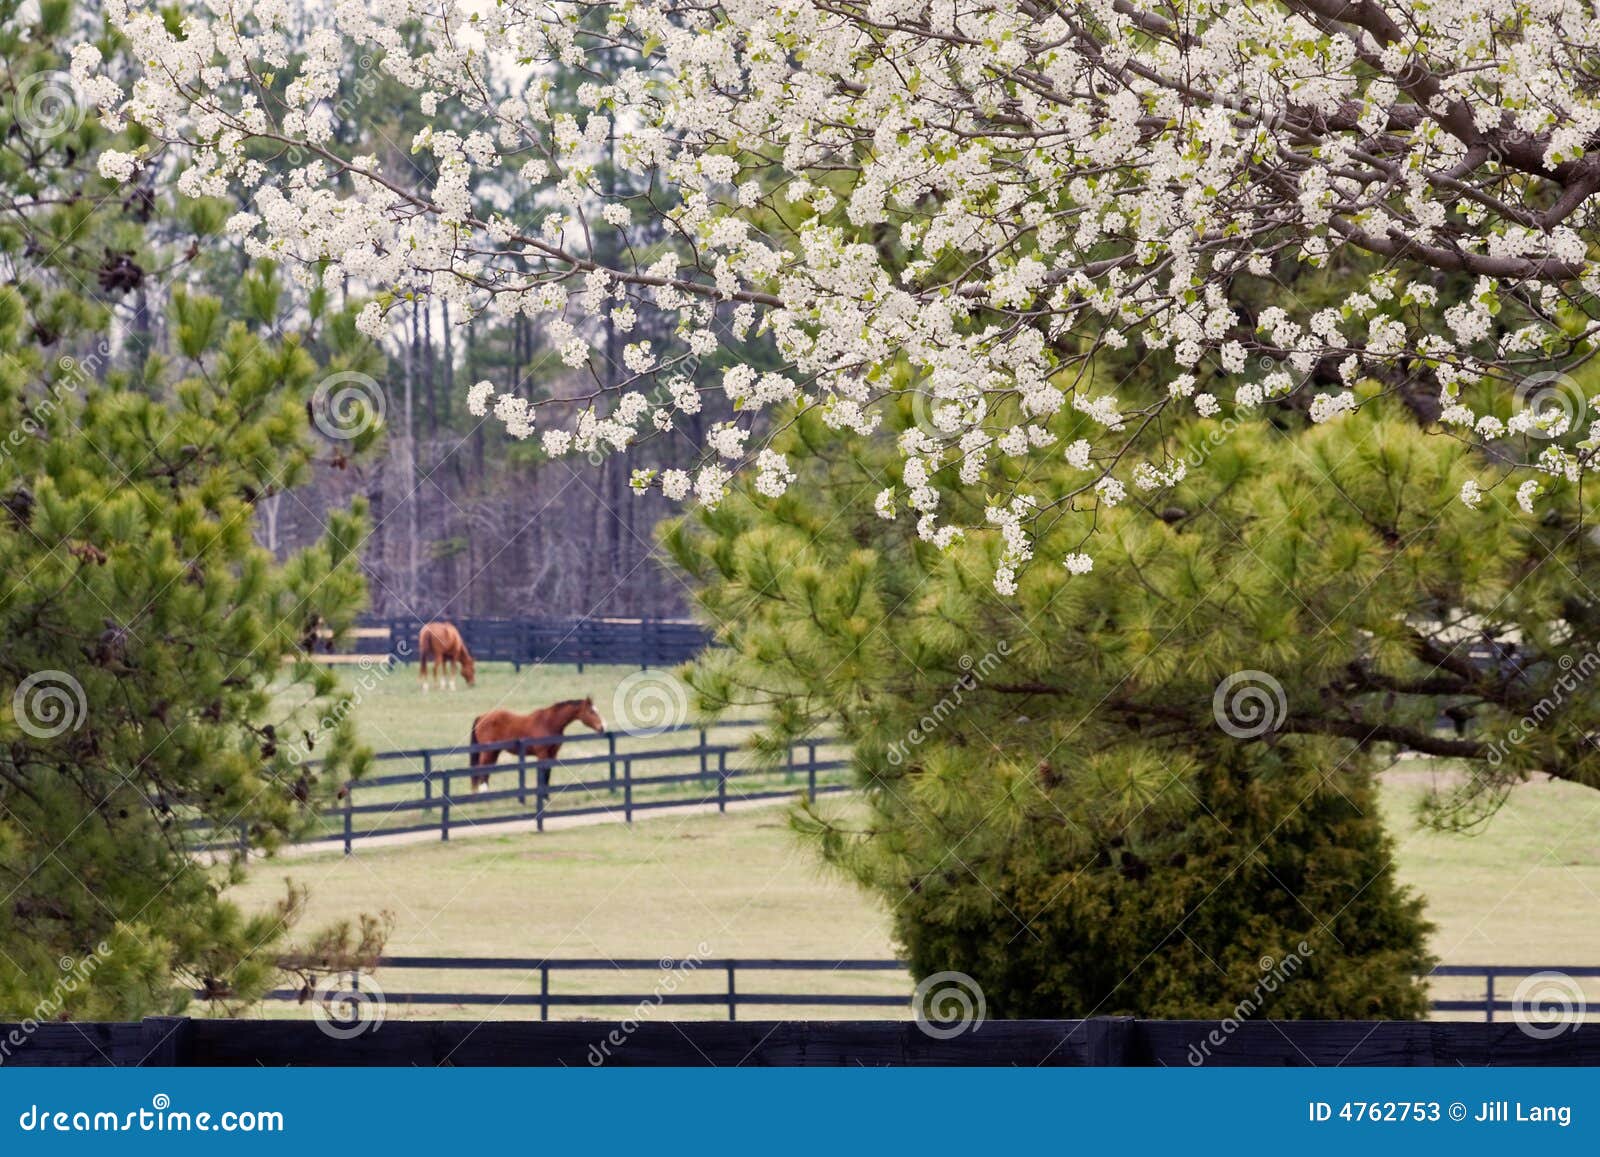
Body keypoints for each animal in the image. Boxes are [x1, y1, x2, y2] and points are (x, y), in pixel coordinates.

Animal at [467, 697, 606, 794]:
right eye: (591, 711)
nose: (603, 727)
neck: (549, 722)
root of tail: (482, 717)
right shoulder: (542, 754)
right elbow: (543, 774)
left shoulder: (552, 754)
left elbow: (548, 773)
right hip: (488, 752)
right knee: (481, 769)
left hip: (494, 752)